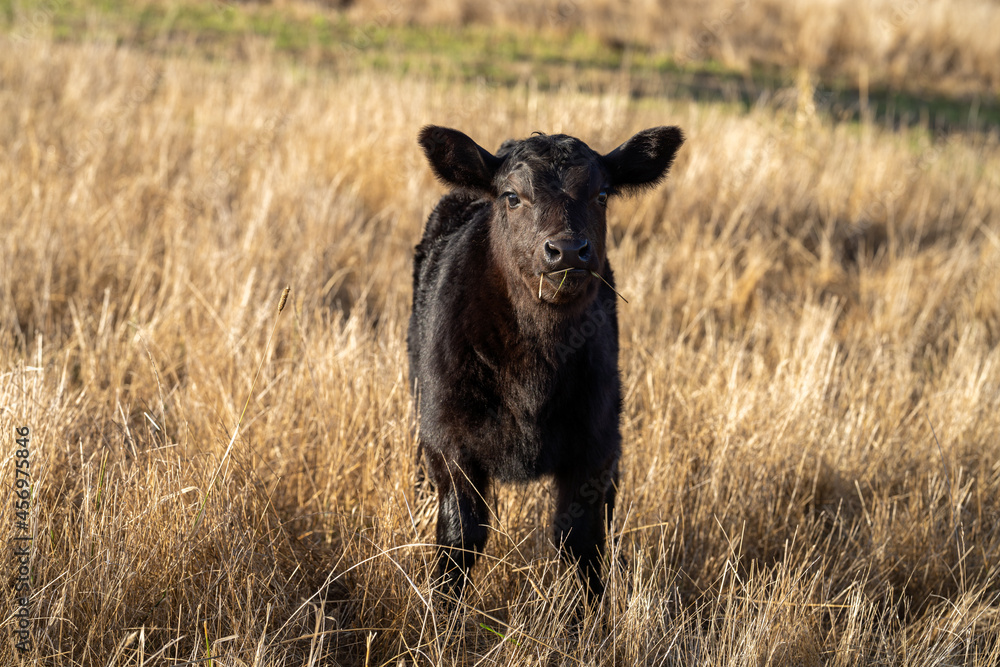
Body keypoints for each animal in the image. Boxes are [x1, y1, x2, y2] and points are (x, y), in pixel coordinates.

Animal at [408, 124, 684, 603]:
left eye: (602, 194)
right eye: (512, 197)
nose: (569, 252)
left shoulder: (598, 444)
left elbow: (580, 540)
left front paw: (592, 618)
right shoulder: (448, 437)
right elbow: (460, 535)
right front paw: (440, 615)